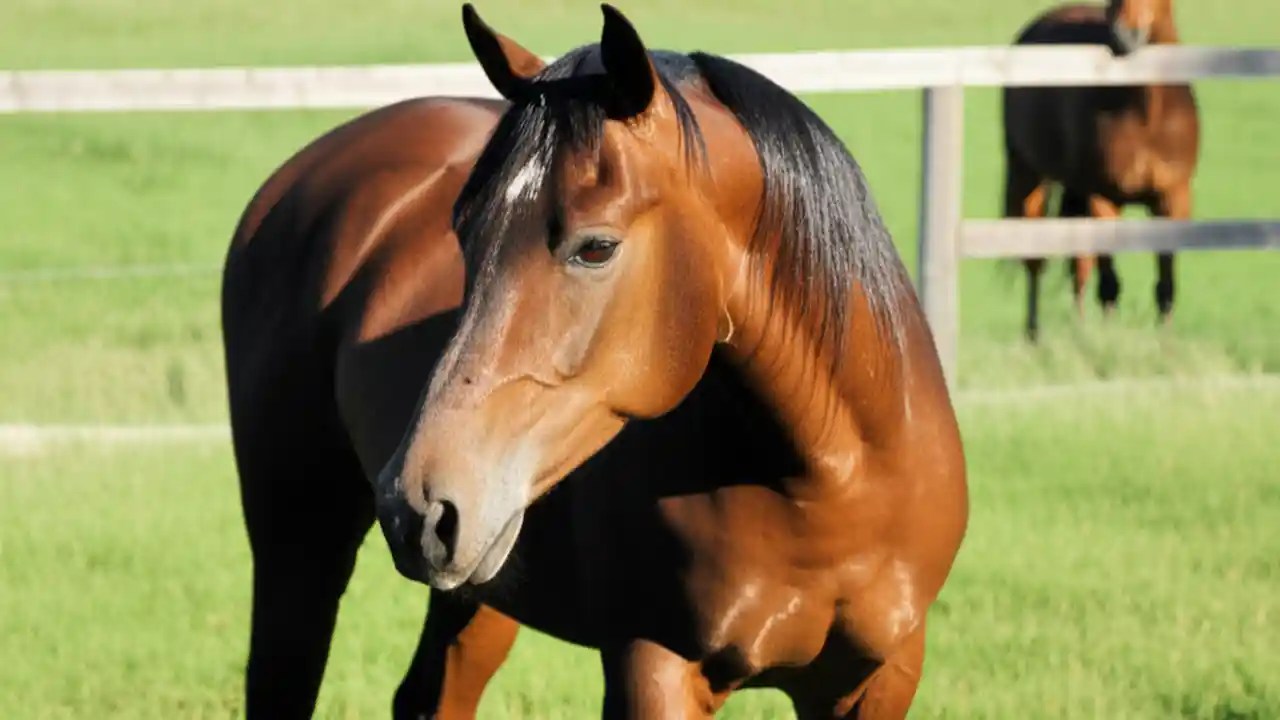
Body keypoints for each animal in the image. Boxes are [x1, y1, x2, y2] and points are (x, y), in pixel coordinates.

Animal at [220, 5, 968, 718]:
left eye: (596, 247)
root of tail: (299, 179)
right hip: (299, 551)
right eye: (462, 232)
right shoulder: (654, 669)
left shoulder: (878, 682)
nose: (416, 507)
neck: (828, 479)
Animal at [1002, 0, 1199, 340]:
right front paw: (1107, 339)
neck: (1147, 115)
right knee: (1041, 261)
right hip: (1029, 176)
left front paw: (1166, 342)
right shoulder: (1104, 197)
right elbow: (1108, 283)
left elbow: (1166, 283)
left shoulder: (1173, 198)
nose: (1126, 36)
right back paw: (1036, 335)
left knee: (1077, 266)